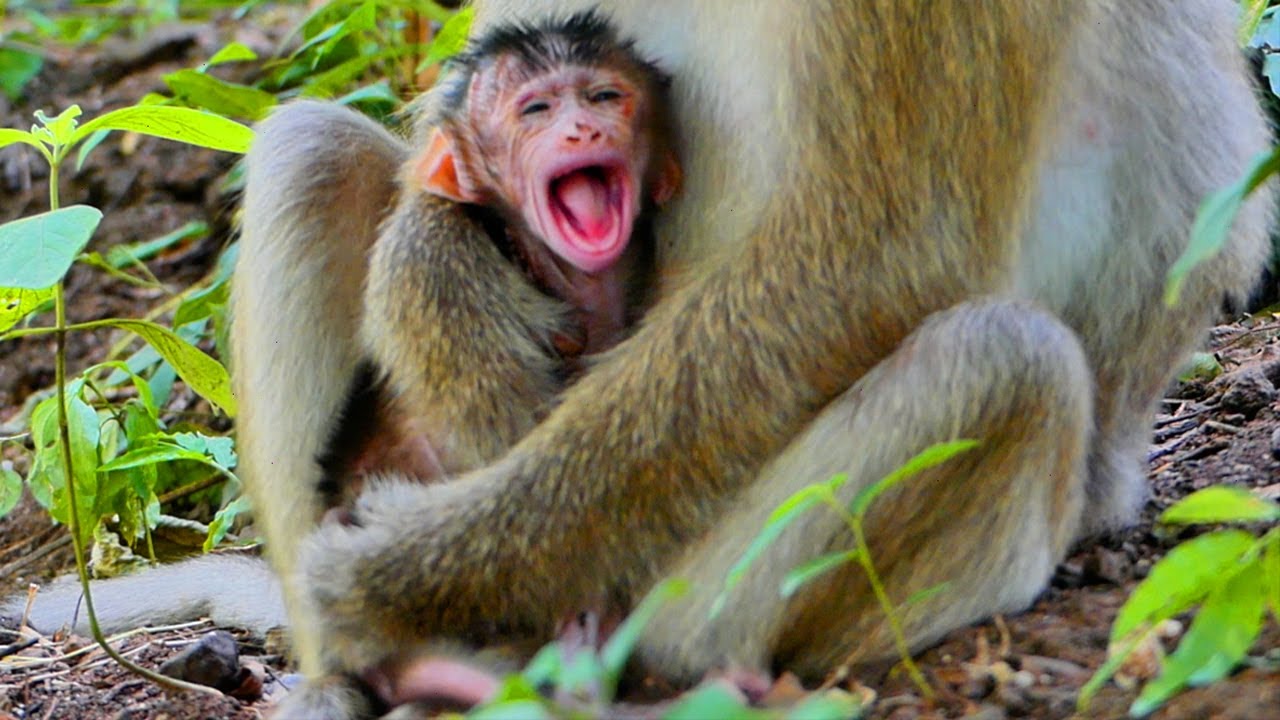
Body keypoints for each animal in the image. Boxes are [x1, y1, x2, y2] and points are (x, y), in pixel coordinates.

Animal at [4, 2, 1269, 718]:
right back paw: (348, 679)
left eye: (602, 98)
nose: (576, 125)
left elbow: (882, 249)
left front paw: (399, 569)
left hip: (688, 565)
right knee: (309, 147)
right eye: (538, 108)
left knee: (1006, 360)